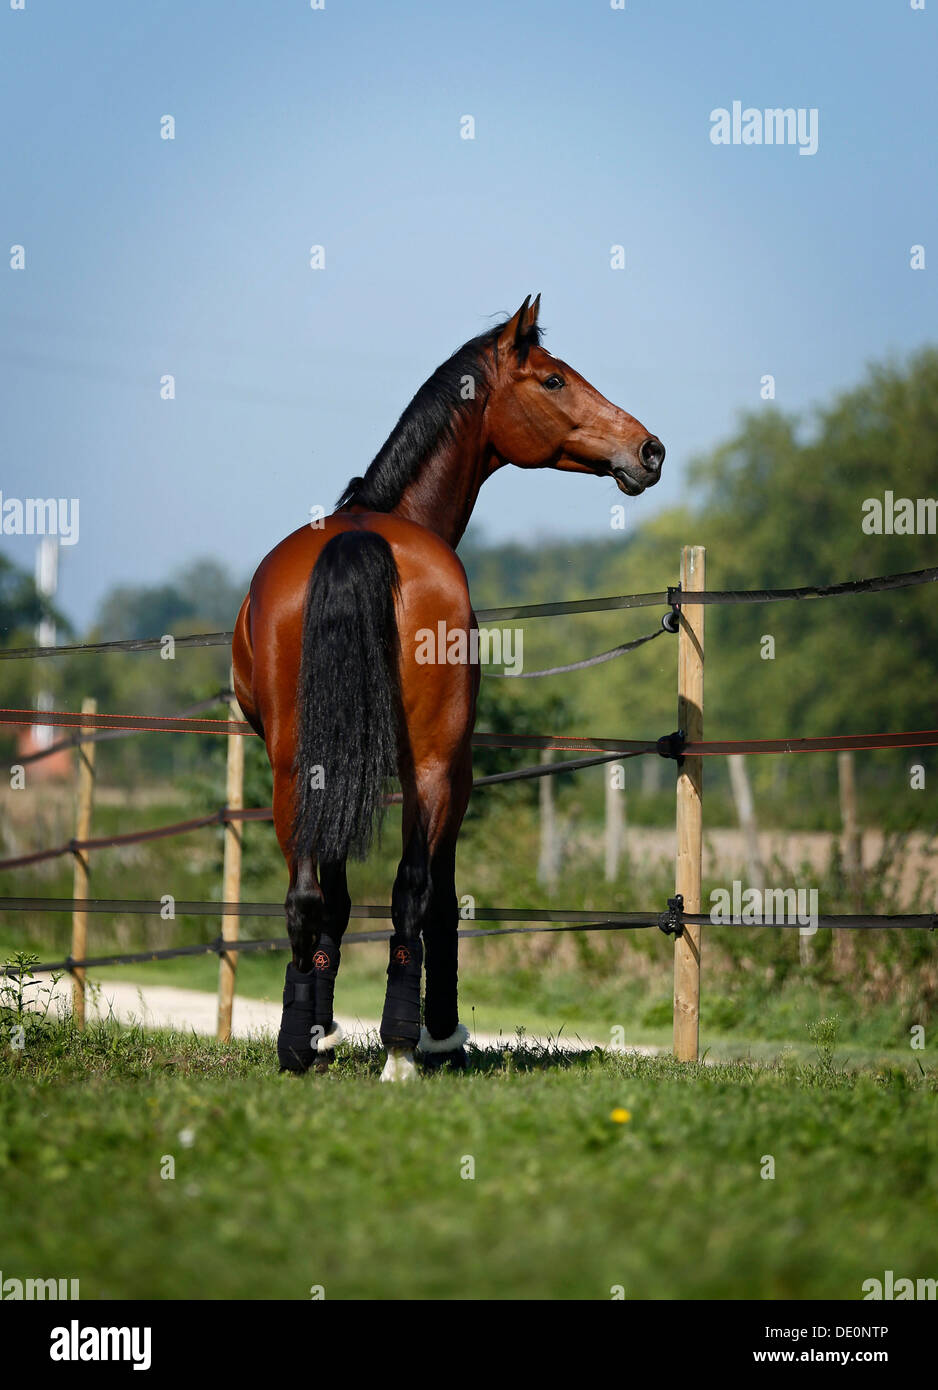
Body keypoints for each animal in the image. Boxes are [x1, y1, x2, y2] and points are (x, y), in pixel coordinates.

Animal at [231, 296, 664, 1081]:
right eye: (553, 379)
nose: (649, 450)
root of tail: (360, 542)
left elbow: (336, 894)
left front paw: (323, 1030)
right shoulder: (454, 768)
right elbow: (437, 895)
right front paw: (438, 1031)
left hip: (295, 765)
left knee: (307, 894)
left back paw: (298, 1047)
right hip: (432, 763)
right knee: (411, 890)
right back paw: (405, 1049)